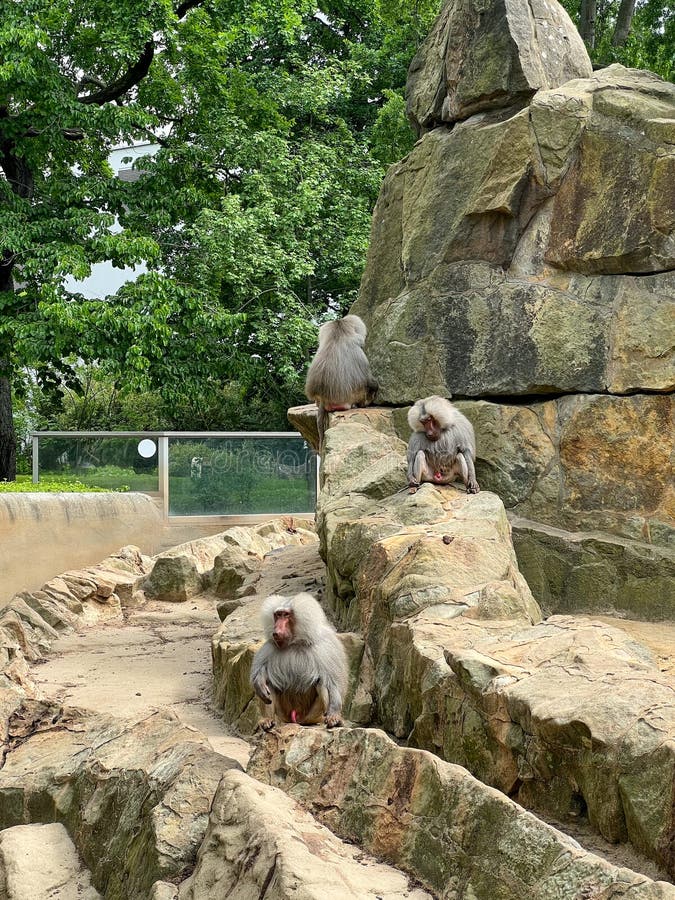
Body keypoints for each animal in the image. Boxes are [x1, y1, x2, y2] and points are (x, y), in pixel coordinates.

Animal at [250, 592, 348, 730]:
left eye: (286, 615)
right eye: (277, 615)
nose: (276, 632)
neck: (295, 642)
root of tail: (296, 719)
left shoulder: (325, 646)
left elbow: (333, 682)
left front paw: (334, 716)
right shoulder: (270, 646)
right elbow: (260, 672)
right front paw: (259, 682)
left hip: (312, 716)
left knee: (322, 682)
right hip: (283, 714)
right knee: (268, 682)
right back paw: (267, 720)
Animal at [304, 314, 378, 451]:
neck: (338, 336)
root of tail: (324, 399)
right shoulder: (359, 354)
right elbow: (370, 381)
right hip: (352, 397)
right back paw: (359, 405)